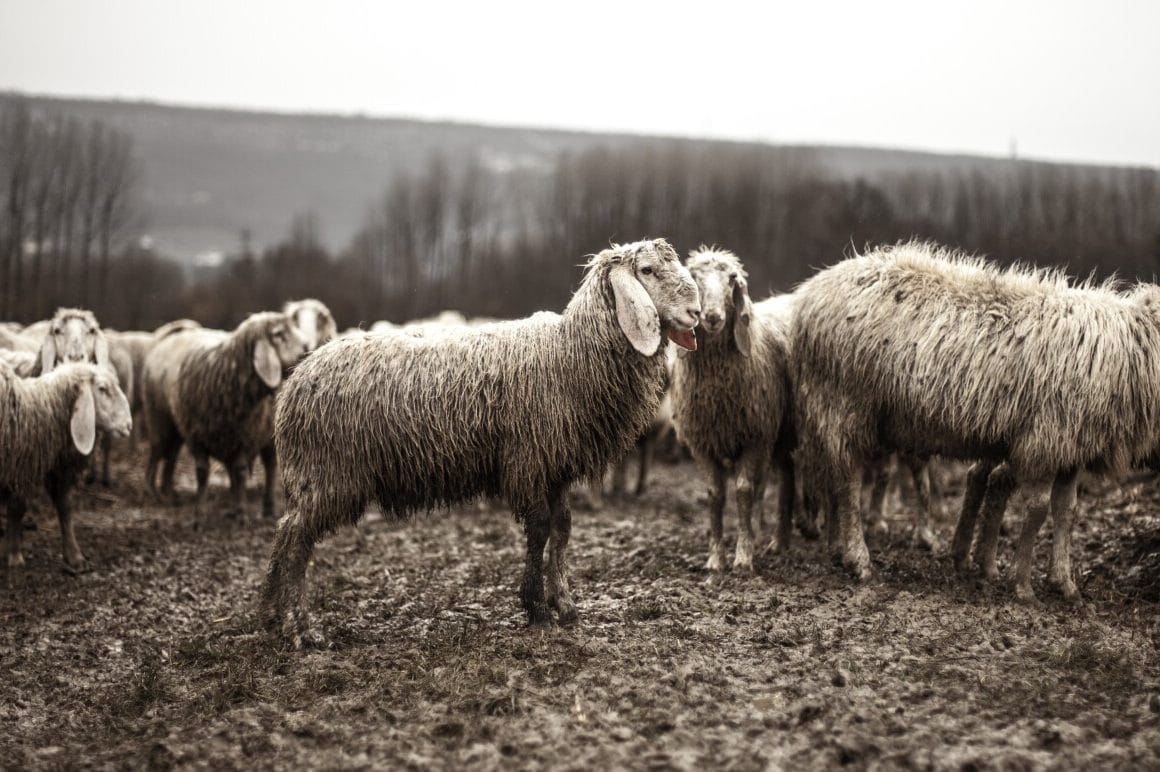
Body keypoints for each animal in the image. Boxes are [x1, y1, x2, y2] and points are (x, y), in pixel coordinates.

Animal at [2, 361, 132, 573]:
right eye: (102, 389)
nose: (128, 425)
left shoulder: (58, 468)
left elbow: (65, 508)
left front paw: (75, 557)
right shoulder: (20, 469)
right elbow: (17, 509)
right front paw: (13, 557)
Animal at [141, 312, 308, 520]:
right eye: (279, 334)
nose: (307, 347)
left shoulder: (245, 437)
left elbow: (240, 470)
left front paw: (241, 512)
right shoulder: (196, 437)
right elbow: (202, 472)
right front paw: (200, 512)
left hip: (266, 433)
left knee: (269, 467)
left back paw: (266, 508)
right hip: (159, 418)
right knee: (161, 451)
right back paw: (156, 492)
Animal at [260, 238, 702, 648]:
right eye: (646, 270)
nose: (696, 312)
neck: (571, 355)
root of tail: (297, 378)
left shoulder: (556, 467)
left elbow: (562, 530)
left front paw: (565, 605)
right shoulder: (529, 461)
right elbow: (539, 530)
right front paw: (536, 609)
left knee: (285, 538)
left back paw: (274, 617)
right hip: (326, 474)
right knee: (293, 543)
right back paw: (299, 629)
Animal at [670, 247, 794, 571]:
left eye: (731, 279)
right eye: (694, 277)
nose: (712, 317)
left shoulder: (754, 436)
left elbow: (743, 490)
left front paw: (743, 555)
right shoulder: (702, 442)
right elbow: (715, 495)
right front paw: (715, 558)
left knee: (785, 479)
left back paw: (780, 540)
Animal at [792, 241, 1160, 601]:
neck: (1133, 350)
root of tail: (808, 295)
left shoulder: (1070, 449)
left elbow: (1065, 511)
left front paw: (1064, 584)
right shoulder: (1043, 441)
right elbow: (1037, 510)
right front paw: (1023, 587)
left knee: (835, 476)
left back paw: (838, 550)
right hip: (843, 403)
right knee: (848, 481)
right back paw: (859, 559)